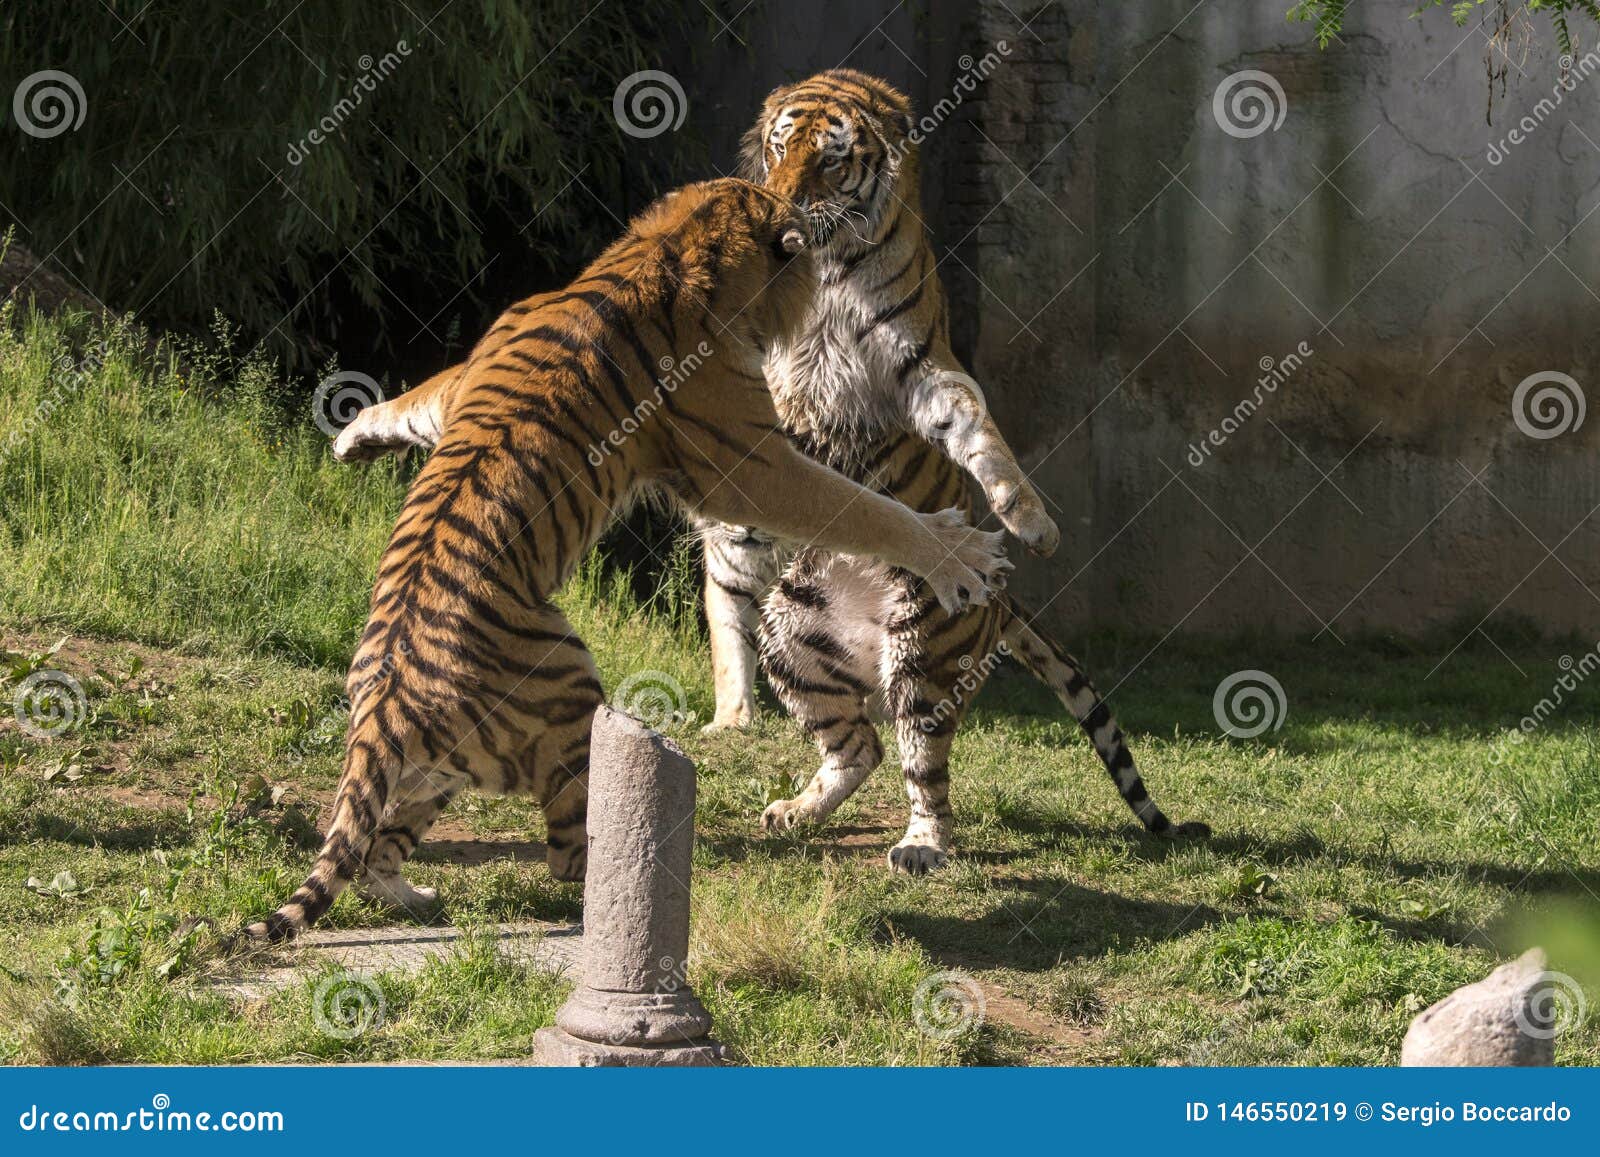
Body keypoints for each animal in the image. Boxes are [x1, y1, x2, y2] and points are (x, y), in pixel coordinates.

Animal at [245, 176, 1011, 941]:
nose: (821, 227)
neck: (666, 248)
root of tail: (380, 708)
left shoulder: (472, 370)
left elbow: (417, 399)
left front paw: (352, 436)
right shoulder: (746, 462)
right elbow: (862, 508)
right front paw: (958, 550)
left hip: (434, 770)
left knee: (374, 851)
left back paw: (414, 896)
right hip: (571, 695)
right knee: (563, 848)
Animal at [331, 70, 1208, 875]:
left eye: (832, 158)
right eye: (781, 148)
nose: (787, 210)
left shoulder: (905, 372)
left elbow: (964, 433)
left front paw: (1023, 519)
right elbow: (423, 395)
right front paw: (354, 434)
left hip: (924, 654)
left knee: (923, 767)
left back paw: (920, 842)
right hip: (796, 639)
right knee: (847, 735)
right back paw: (773, 783)